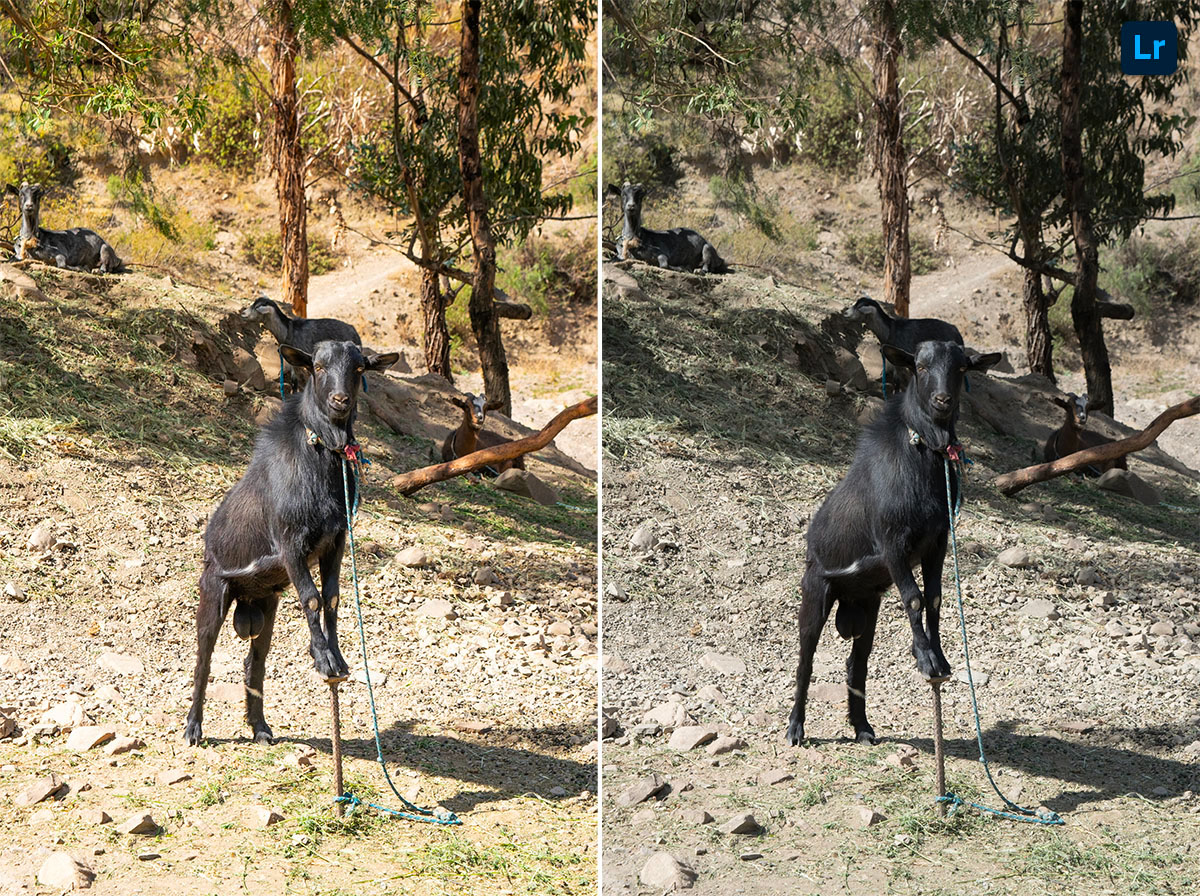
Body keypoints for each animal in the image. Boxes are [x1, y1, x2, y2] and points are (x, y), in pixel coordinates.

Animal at [184, 340, 399, 746]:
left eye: (359, 368)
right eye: (318, 366)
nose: (340, 400)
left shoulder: (335, 540)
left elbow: (331, 597)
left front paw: (336, 659)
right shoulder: (290, 543)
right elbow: (311, 597)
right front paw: (323, 659)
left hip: (266, 604)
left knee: (255, 660)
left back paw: (260, 727)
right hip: (214, 589)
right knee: (204, 656)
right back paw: (193, 728)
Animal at [786, 340, 1001, 746]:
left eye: (961, 368)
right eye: (920, 366)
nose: (942, 400)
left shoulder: (937, 540)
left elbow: (934, 598)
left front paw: (939, 659)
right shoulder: (891, 543)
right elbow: (914, 597)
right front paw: (925, 659)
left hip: (867, 606)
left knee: (856, 662)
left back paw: (862, 727)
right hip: (816, 589)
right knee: (806, 657)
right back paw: (795, 728)